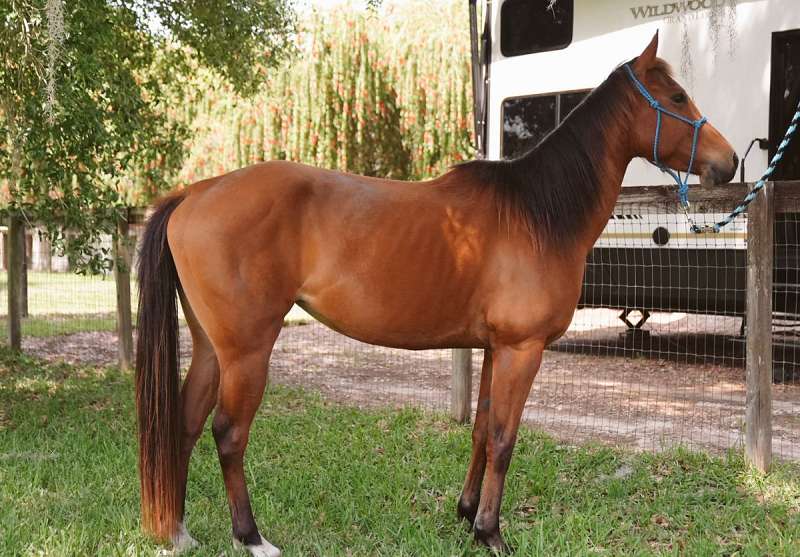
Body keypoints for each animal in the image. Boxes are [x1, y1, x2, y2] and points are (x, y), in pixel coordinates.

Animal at [135, 33, 737, 555]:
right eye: (677, 97)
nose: (729, 163)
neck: (536, 214)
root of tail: (195, 192)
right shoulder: (522, 350)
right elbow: (504, 438)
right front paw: (493, 533)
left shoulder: (495, 349)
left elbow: (480, 430)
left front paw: (468, 515)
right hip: (247, 352)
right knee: (228, 433)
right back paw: (251, 537)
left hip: (211, 348)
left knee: (184, 424)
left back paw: (180, 532)